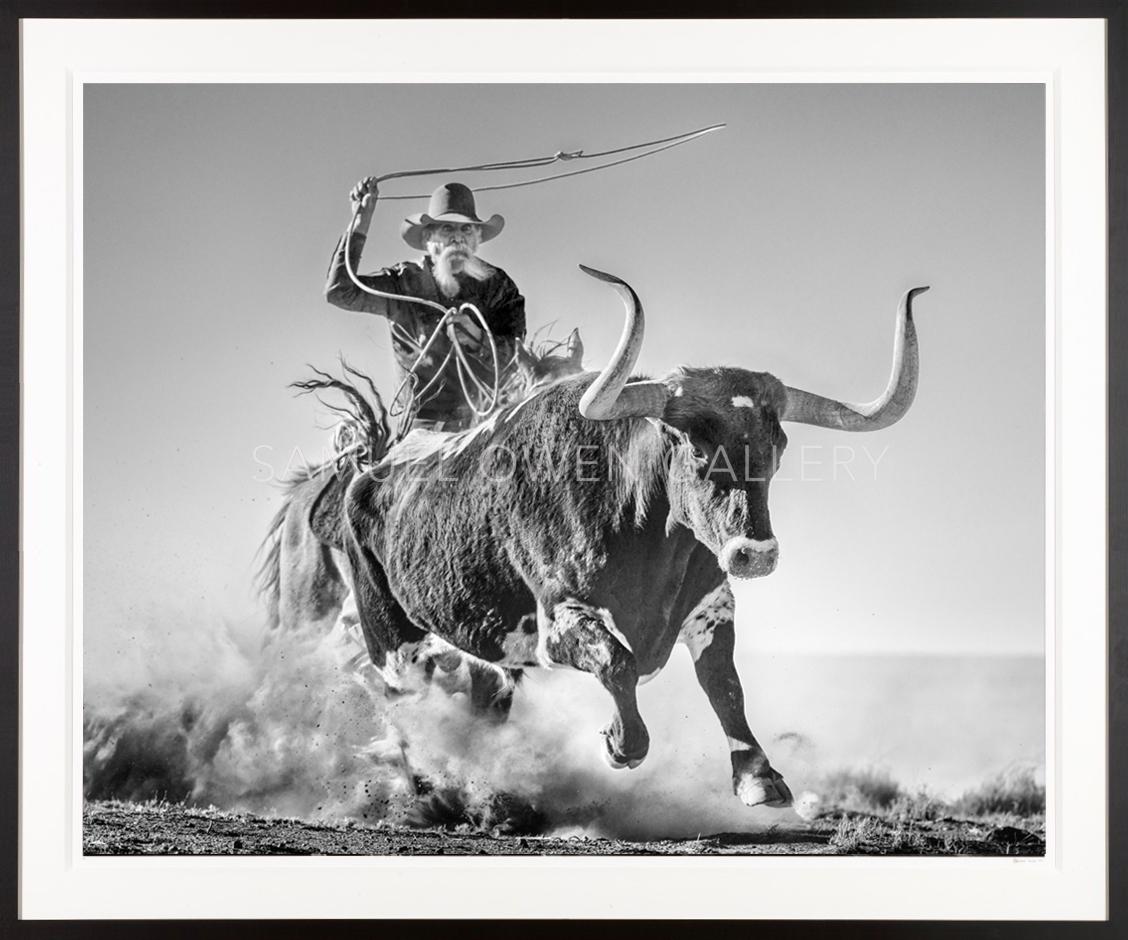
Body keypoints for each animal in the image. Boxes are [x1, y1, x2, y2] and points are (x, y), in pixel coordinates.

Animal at [344, 267, 927, 808]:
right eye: (695, 446)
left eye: (777, 447)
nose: (754, 555)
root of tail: (370, 471)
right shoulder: (560, 622)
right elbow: (618, 664)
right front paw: (620, 745)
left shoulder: (712, 604)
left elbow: (725, 684)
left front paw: (758, 775)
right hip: (392, 643)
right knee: (406, 711)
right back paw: (423, 788)